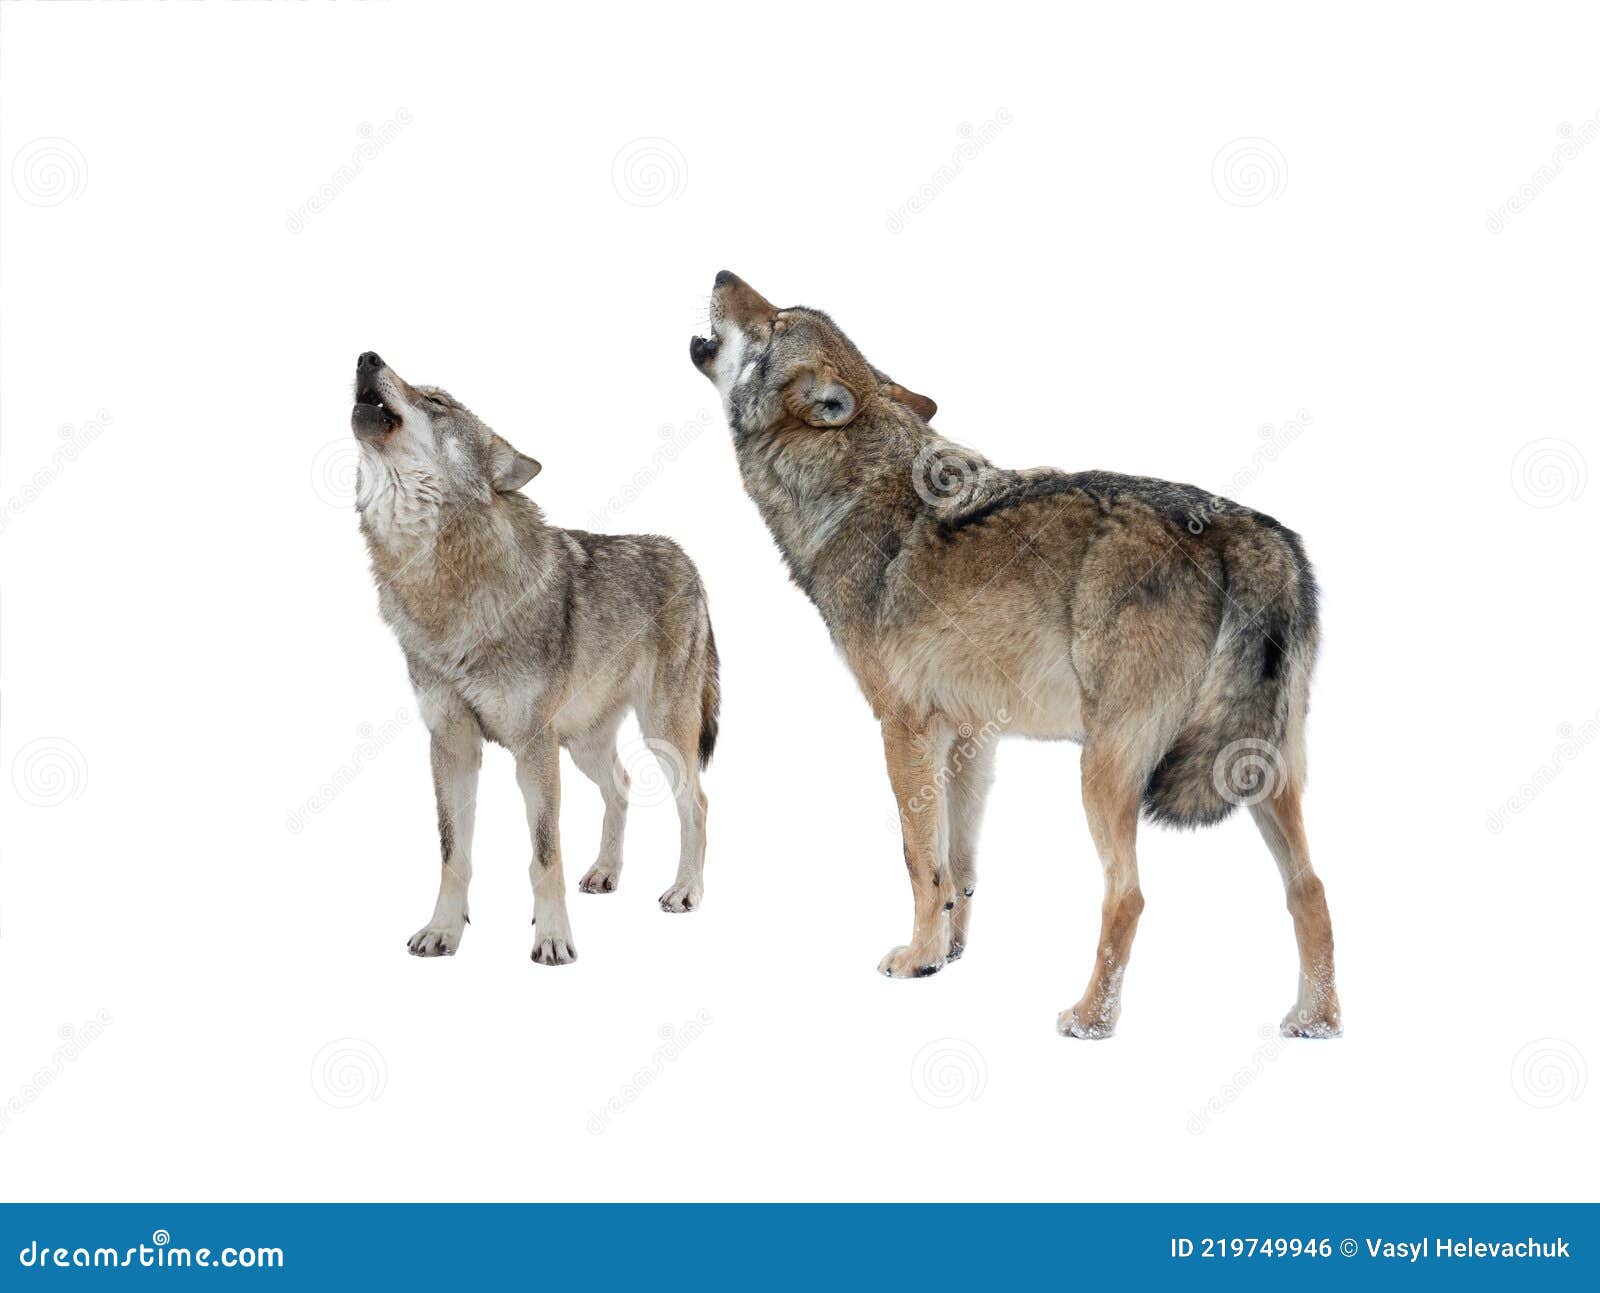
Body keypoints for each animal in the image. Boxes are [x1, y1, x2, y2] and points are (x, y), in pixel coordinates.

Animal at [351, 352, 719, 963]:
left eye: (437, 401)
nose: (366, 356)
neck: (443, 583)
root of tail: (688, 559)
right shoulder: (451, 745)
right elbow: (453, 853)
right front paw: (443, 931)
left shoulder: (531, 746)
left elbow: (544, 856)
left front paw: (552, 938)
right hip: (581, 744)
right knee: (621, 786)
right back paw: (605, 873)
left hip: (659, 732)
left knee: (697, 803)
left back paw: (686, 889)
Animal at [690, 273, 1339, 1038]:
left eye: (775, 321)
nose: (723, 273)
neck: (851, 492)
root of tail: (1257, 533)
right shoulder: (970, 735)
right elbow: (958, 865)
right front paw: (948, 953)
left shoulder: (903, 728)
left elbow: (919, 859)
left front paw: (916, 960)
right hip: (1260, 771)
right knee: (1310, 888)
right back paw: (1317, 1020)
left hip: (1105, 770)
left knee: (1129, 895)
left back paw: (1089, 1019)